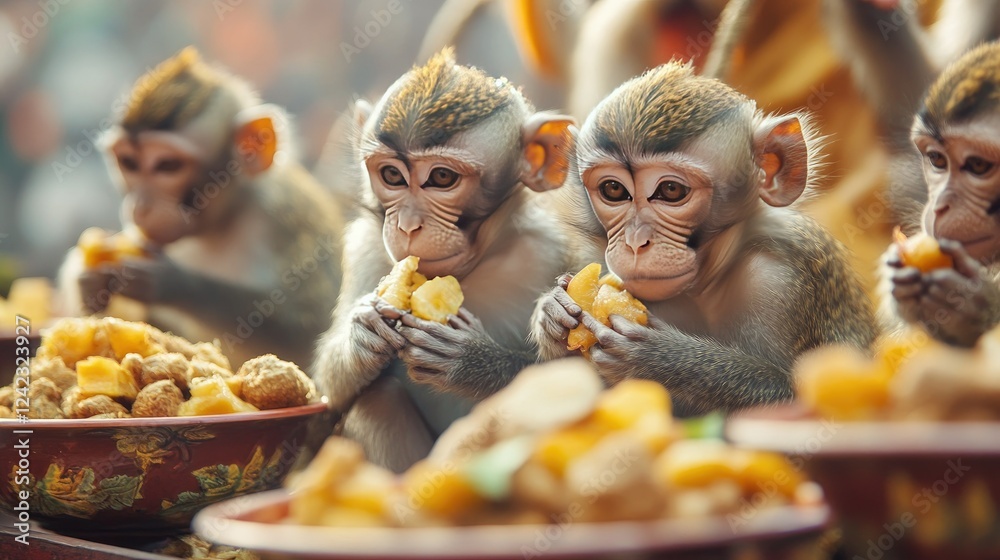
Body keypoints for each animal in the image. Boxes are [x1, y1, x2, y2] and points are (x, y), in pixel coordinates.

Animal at [57, 47, 344, 370]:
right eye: (129, 163)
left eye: (167, 165)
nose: (140, 206)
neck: (220, 224)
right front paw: (88, 282)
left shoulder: (287, 220)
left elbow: (305, 333)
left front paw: (173, 282)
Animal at [312, 49, 576, 472]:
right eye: (392, 175)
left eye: (441, 178)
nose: (407, 225)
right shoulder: (366, 245)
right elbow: (332, 390)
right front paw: (362, 333)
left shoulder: (555, 247)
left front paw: (471, 361)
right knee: (378, 400)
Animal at [530, 62, 878, 418]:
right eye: (613, 189)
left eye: (671, 190)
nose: (636, 241)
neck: (707, 284)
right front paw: (552, 314)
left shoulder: (777, 281)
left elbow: (799, 395)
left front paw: (660, 360)